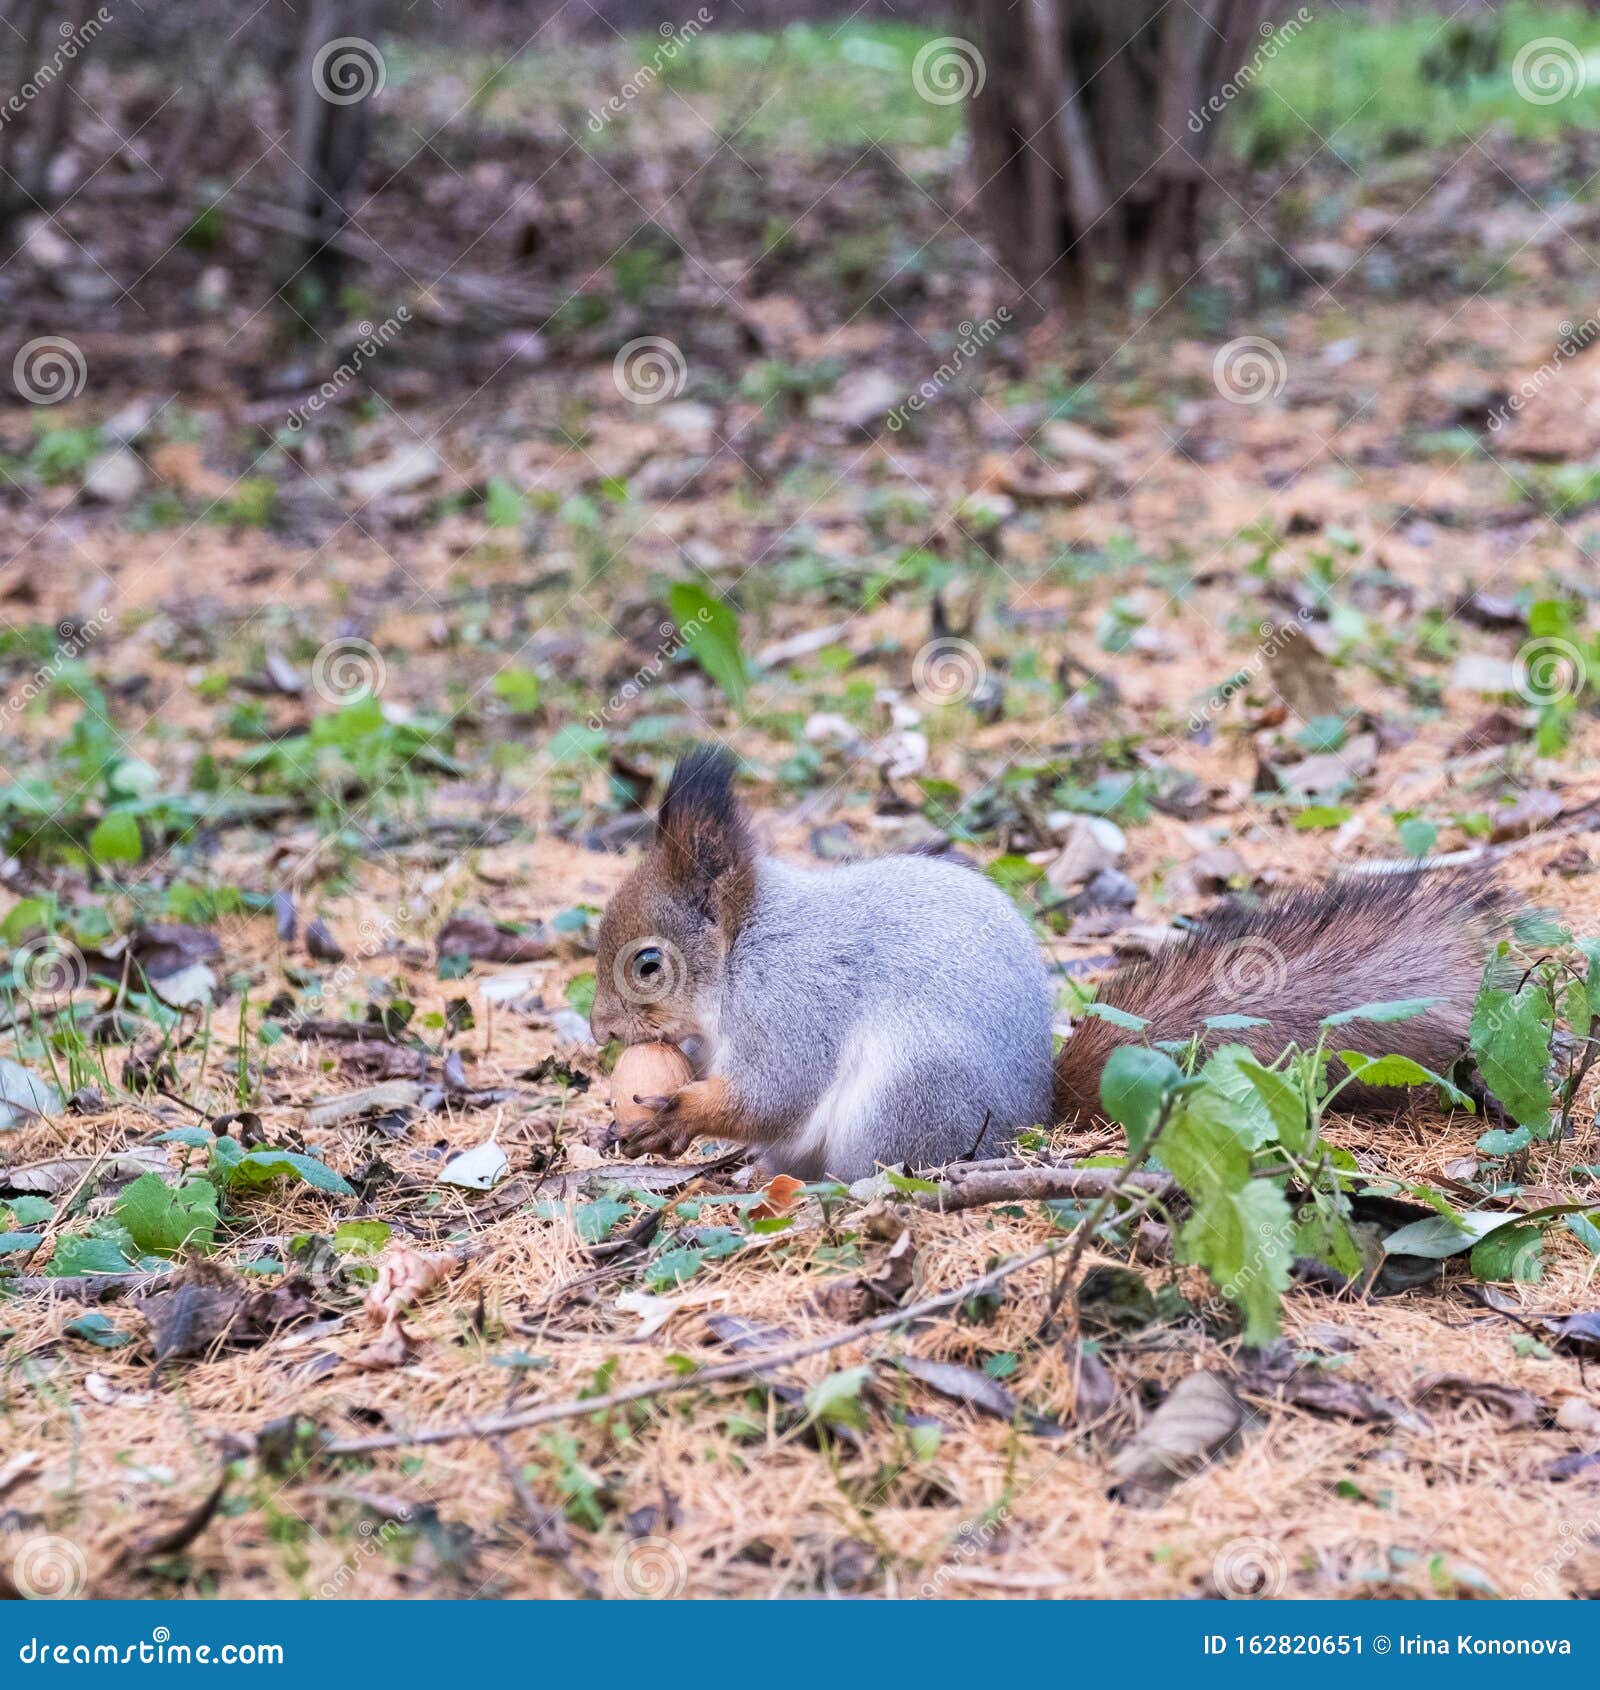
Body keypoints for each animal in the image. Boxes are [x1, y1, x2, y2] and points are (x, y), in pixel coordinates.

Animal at [591, 746, 1510, 1181]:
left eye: (647, 964)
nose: (600, 1032)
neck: (742, 952)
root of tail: (1037, 1113)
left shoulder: (794, 997)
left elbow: (774, 1091)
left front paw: (676, 1113)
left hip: (910, 1095)